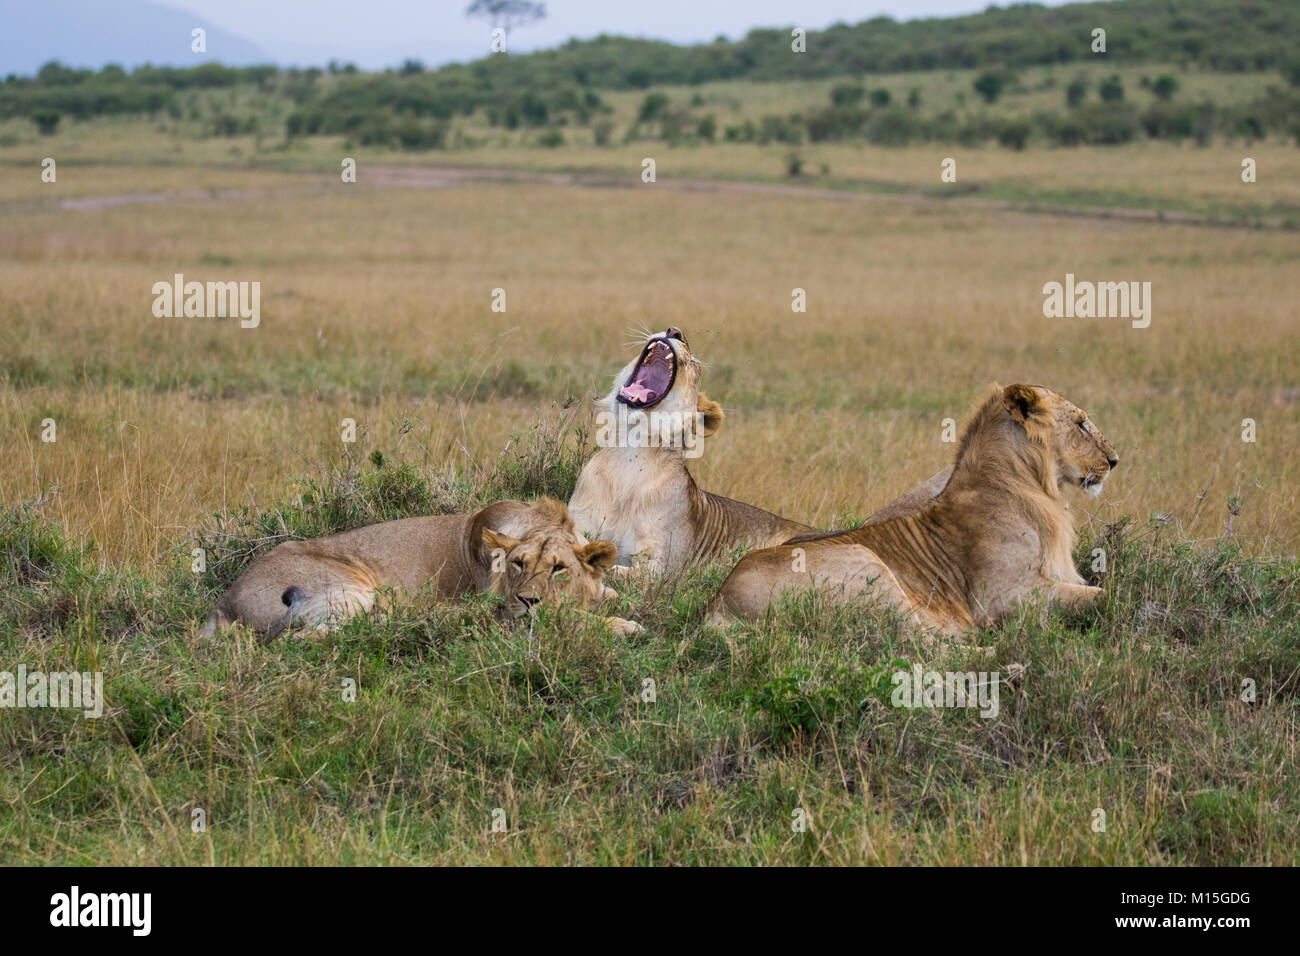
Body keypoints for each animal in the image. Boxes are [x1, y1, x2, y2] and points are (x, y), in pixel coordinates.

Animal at [199, 497, 641, 640]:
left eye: (559, 569)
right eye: (518, 564)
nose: (529, 600)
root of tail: (222, 601)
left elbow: (611, 591)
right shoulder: (500, 613)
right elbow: (569, 621)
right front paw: (623, 626)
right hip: (352, 590)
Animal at [706, 384, 1119, 635]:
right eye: (1081, 423)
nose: (1115, 460)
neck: (1035, 485)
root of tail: (719, 601)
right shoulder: (1001, 596)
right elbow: (1104, 595)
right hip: (869, 567)